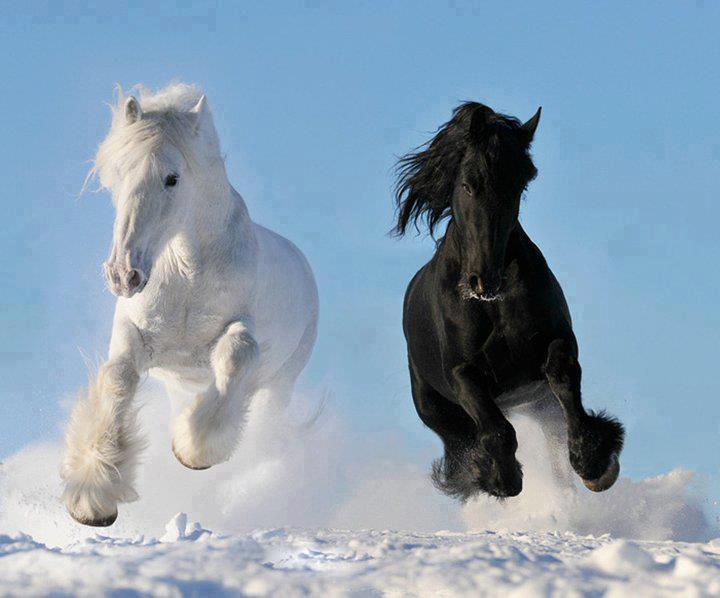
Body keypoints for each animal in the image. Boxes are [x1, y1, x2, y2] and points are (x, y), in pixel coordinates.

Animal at [61, 84, 319, 527]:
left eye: (172, 178)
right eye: (118, 174)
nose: (123, 274)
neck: (185, 274)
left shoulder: (239, 330)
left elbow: (236, 354)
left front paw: (194, 451)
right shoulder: (135, 337)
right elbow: (118, 379)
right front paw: (94, 498)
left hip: (280, 384)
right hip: (179, 385)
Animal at [394, 102, 624, 500]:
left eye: (518, 185)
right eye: (468, 184)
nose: (484, 280)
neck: (492, 305)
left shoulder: (555, 341)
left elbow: (563, 376)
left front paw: (594, 463)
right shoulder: (462, 373)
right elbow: (496, 430)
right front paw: (500, 477)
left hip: (537, 402)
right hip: (436, 409)